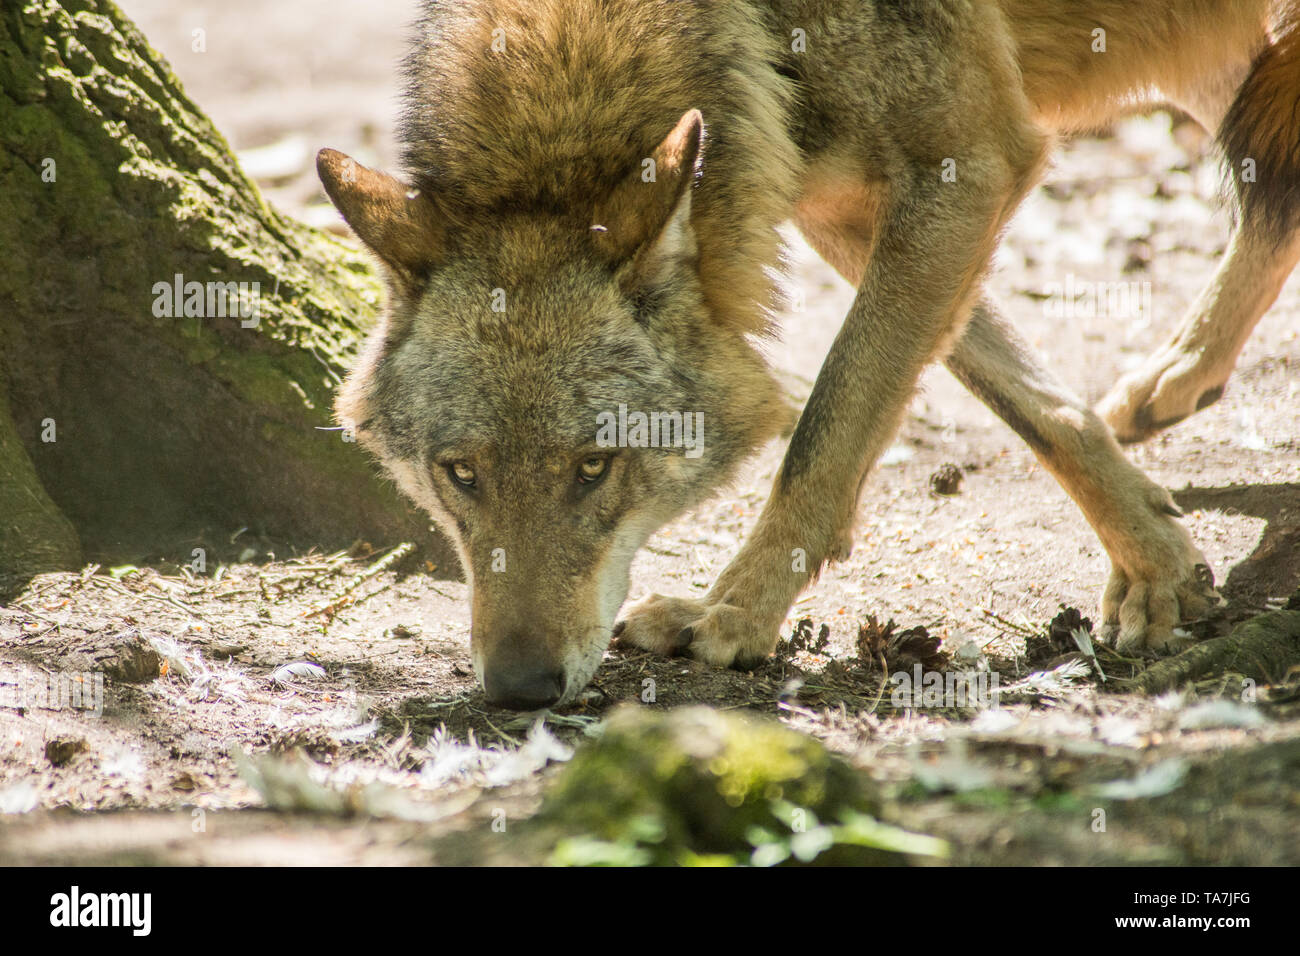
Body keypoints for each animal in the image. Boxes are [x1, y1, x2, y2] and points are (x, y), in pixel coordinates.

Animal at [318, 0, 1300, 709]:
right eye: (460, 474)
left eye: (595, 467)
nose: (519, 692)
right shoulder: (839, 201)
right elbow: (1034, 401)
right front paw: (1160, 566)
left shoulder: (968, 165)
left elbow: (826, 429)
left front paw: (733, 612)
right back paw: (1173, 383)